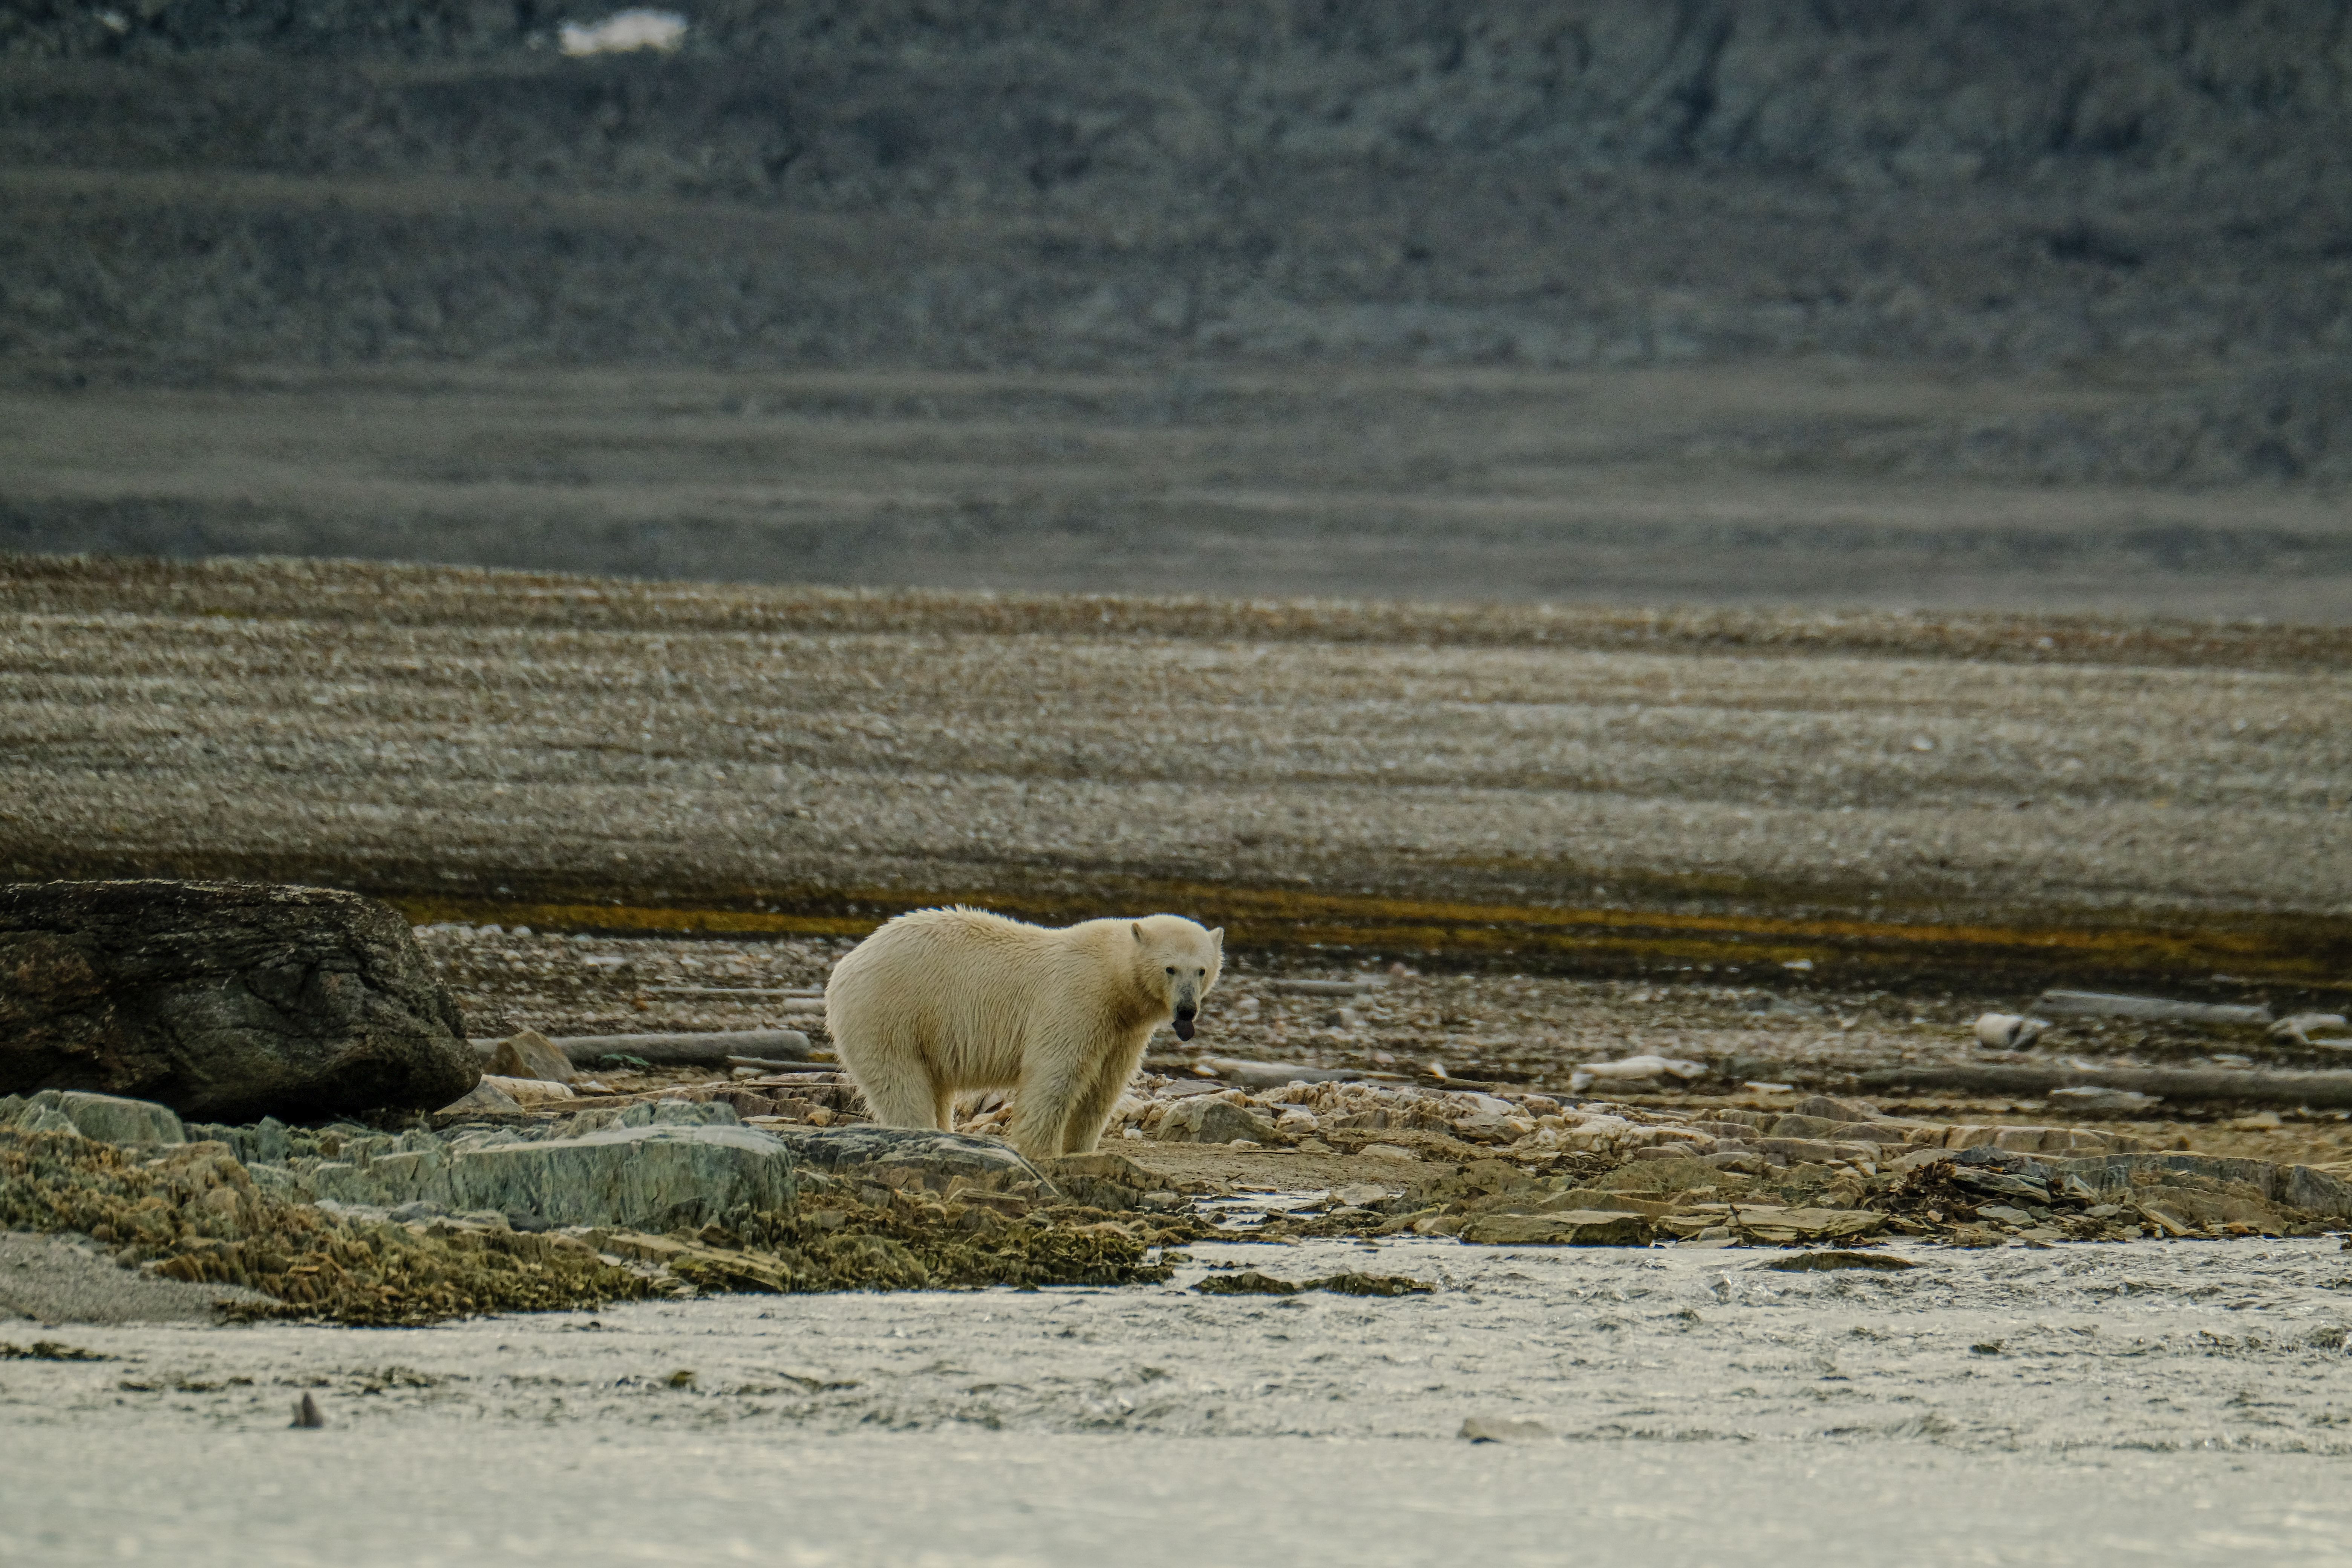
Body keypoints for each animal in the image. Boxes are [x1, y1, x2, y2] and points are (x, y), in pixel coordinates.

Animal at [824, 907, 1223, 1160]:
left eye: (1202, 970)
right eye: (1171, 969)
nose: (1186, 1010)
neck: (1113, 977)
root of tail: (848, 964)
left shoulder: (1123, 1030)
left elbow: (1104, 1087)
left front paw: (1079, 1149)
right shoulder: (1075, 1001)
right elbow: (1056, 1076)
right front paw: (1042, 1152)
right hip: (888, 1012)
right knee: (900, 1082)